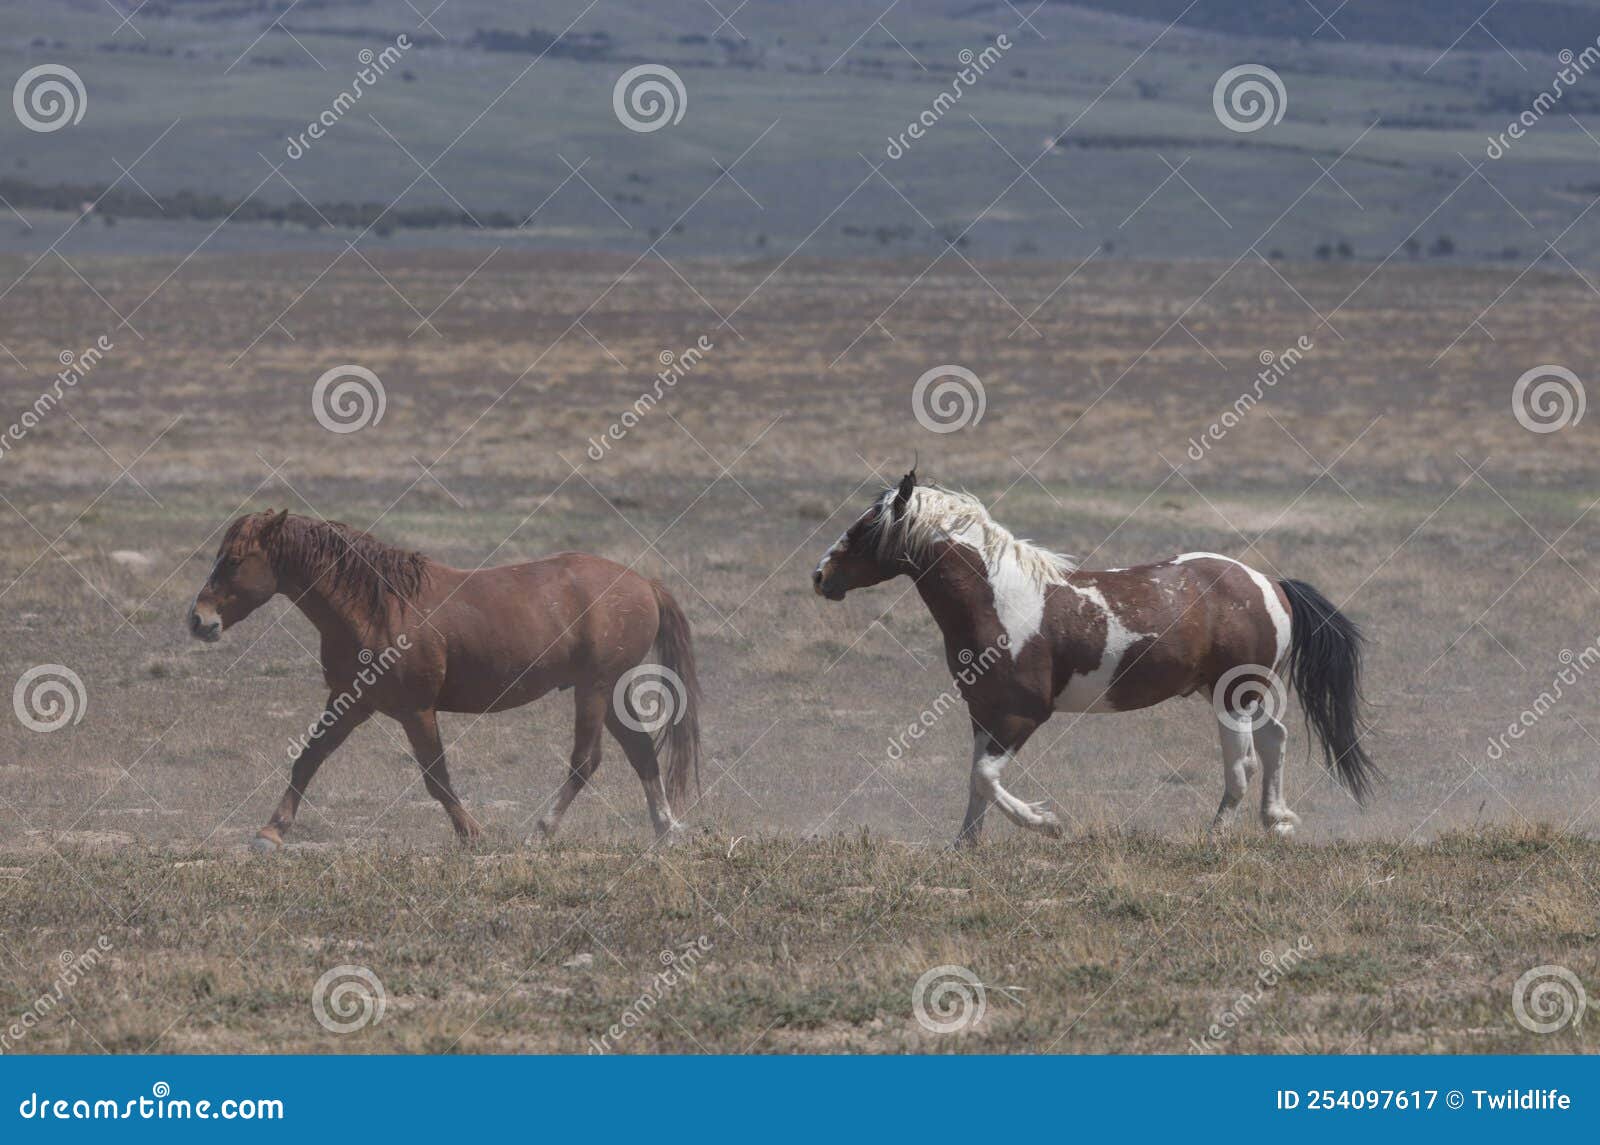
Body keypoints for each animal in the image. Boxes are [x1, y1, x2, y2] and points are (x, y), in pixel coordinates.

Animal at [186, 510, 701, 850]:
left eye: (234, 560)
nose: (199, 620)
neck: (378, 607)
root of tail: (644, 583)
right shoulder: (351, 701)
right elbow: (309, 759)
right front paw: (270, 831)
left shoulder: (417, 711)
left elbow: (436, 777)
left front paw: (473, 834)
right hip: (610, 691)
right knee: (640, 753)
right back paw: (666, 830)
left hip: (594, 689)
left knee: (585, 761)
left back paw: (541, 830)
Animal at [812, 470, 1375, 846]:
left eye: (865, 528)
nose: (820, 576)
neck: (999, 601)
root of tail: (1269, 583)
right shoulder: (984, 712)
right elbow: (975, 779)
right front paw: (964, 846)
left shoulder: (1020, 714)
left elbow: (987, 778)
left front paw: (1047, 823)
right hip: (1239, 693)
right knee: (1275, 740)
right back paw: (1276, 822)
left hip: (1232, 696)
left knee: (1244, 763)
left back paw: (1215, 835)